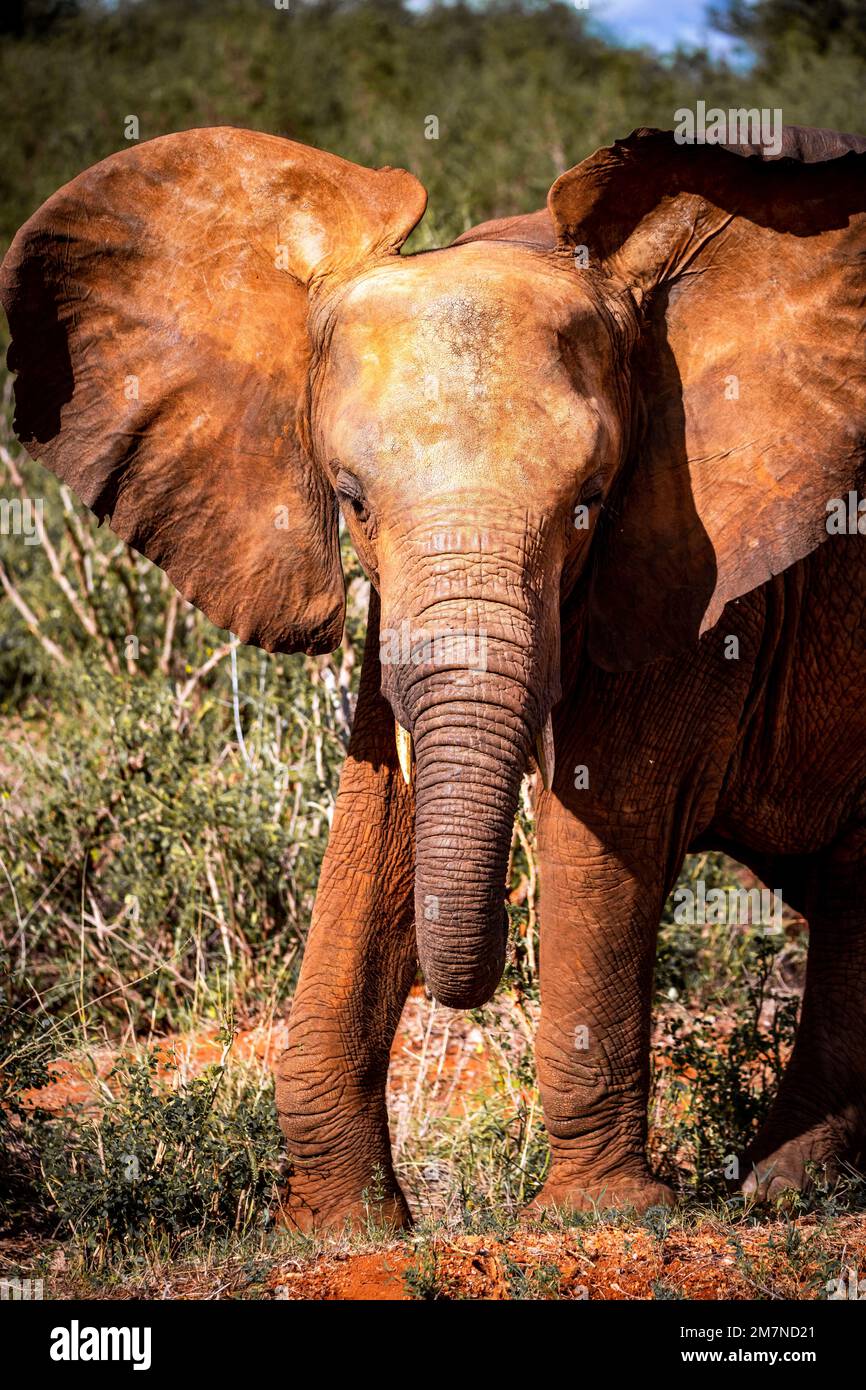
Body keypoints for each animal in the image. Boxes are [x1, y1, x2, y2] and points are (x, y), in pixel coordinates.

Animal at [2, 121, 866, 1231]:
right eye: (351, 501)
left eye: (589, 503)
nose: (472, 981)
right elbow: (378, 820)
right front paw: (344, 1226)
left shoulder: (702, 575)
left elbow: (605, 830)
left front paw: (595, 1218)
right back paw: (785, 1183)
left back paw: (776, 1190)